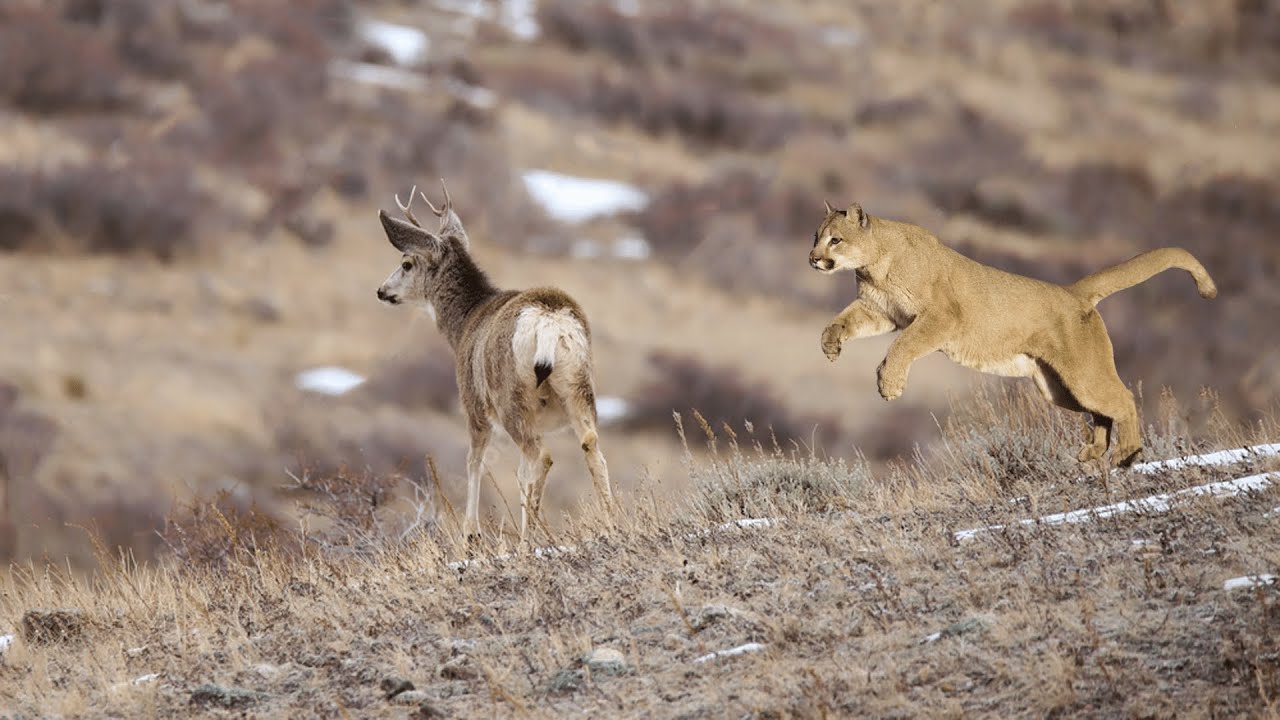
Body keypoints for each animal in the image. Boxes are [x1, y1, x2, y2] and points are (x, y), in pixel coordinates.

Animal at [375, 180, 612, 543]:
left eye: (406, 263)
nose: (381, 290)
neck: (464, 325)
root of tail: (549, 319)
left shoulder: (472, 405)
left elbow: (474, 461)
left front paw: (469, 534)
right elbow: (514, 472)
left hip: (511, 398)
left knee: (541, 457)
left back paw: (528, 538)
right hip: (579, 385)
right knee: (590, 447)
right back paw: (613, 521)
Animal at [809, 201, 1217, 467]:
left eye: (835, 240)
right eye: (815, 236)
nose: (813, 258)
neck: (875, 265)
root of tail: (1072, 291)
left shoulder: (940, 317)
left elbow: (903, 345)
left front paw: (889, 384)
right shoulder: (879, 311)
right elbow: (841, 322)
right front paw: (830, 346)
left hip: (1083, 375)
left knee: (1123, 399)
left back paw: (1127, 455)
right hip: (1057, 387)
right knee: (1100, 410)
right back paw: (1094, 452)